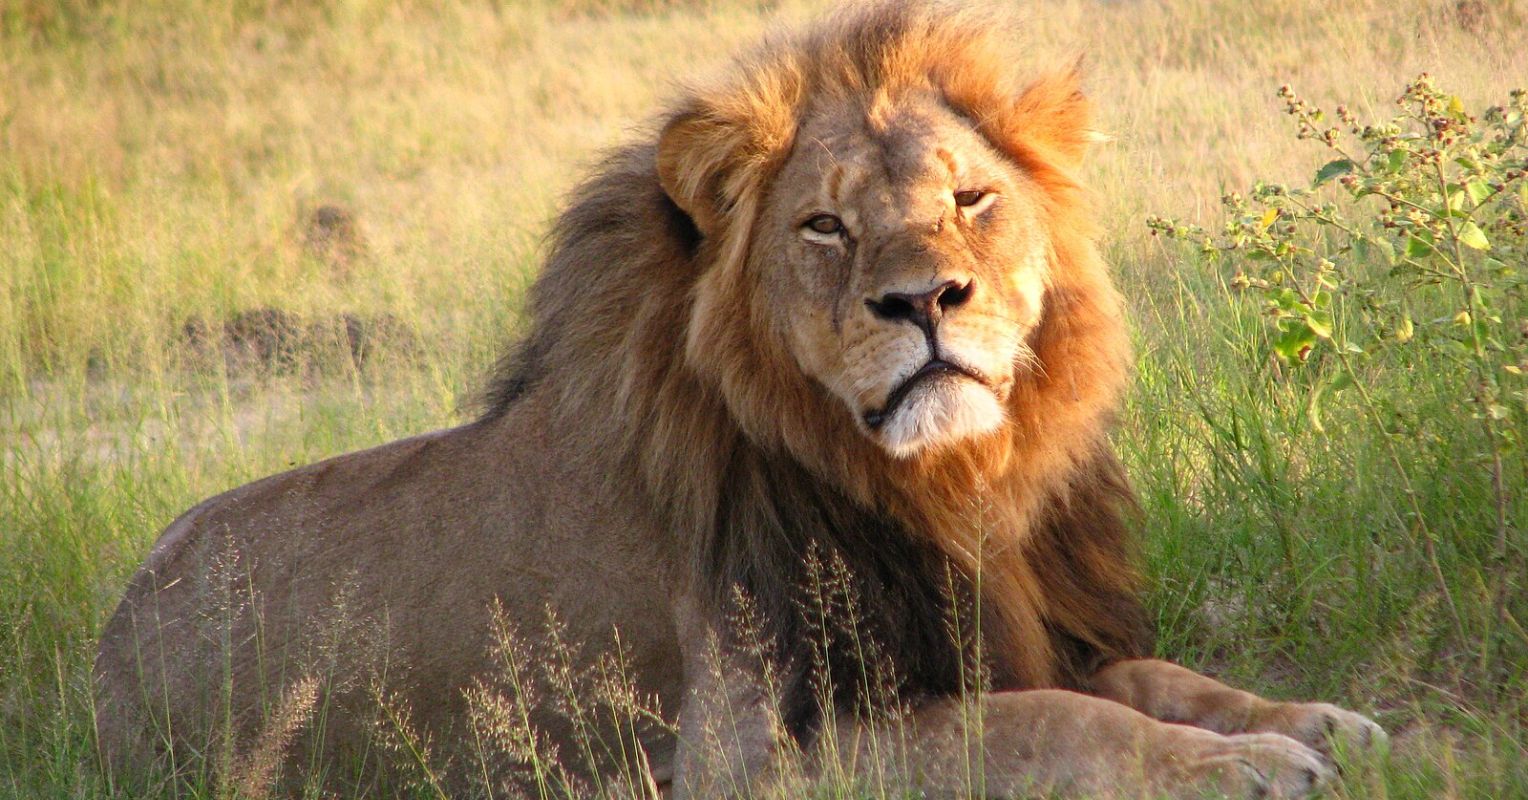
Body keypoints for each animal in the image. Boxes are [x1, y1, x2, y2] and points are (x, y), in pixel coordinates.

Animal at [94, 2, 1385, 797]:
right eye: (824, 225)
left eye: (969, 198)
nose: (925, 299)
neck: (947, 485)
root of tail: (105, 643)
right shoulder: (748, 752)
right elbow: (1054, 721)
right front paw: (1237, 764)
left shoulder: (998, 625)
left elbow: (1152, 678)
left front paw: (1314, 719)